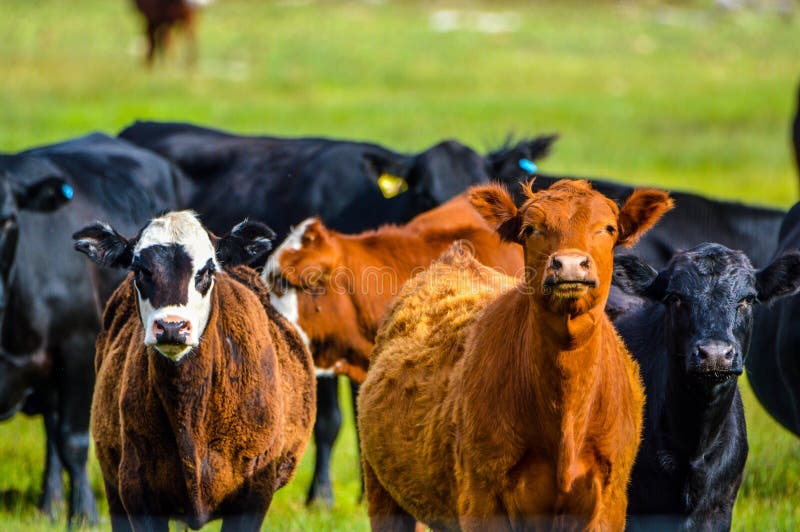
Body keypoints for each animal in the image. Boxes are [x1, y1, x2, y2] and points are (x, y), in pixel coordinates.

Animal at [358, 180, 673, 530]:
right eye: (530, 228)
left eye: (608, 228)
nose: (570, 264)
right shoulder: (481, 498)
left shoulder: (609, 502)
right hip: (382, 491)